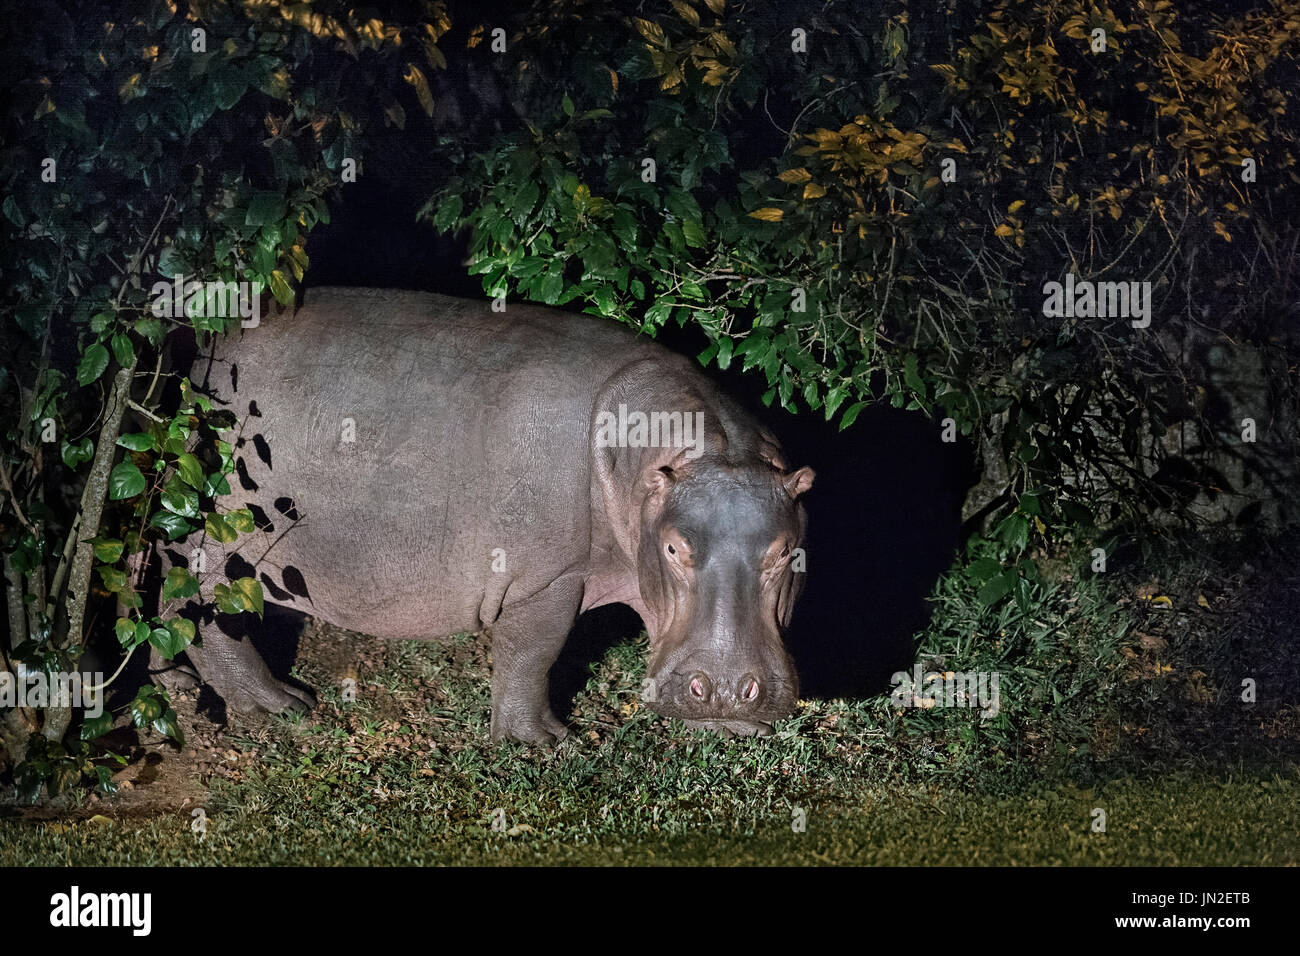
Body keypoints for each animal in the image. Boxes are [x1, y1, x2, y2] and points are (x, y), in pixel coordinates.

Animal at [152, 288, 814, 745]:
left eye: (785, 550)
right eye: (674, 548)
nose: (726, 690)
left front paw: (737, 728)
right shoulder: (545, 575)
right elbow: (532, 650)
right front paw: (543, 743)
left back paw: (179, 686)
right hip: (221, 536)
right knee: (198, 609)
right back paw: (281, 705)